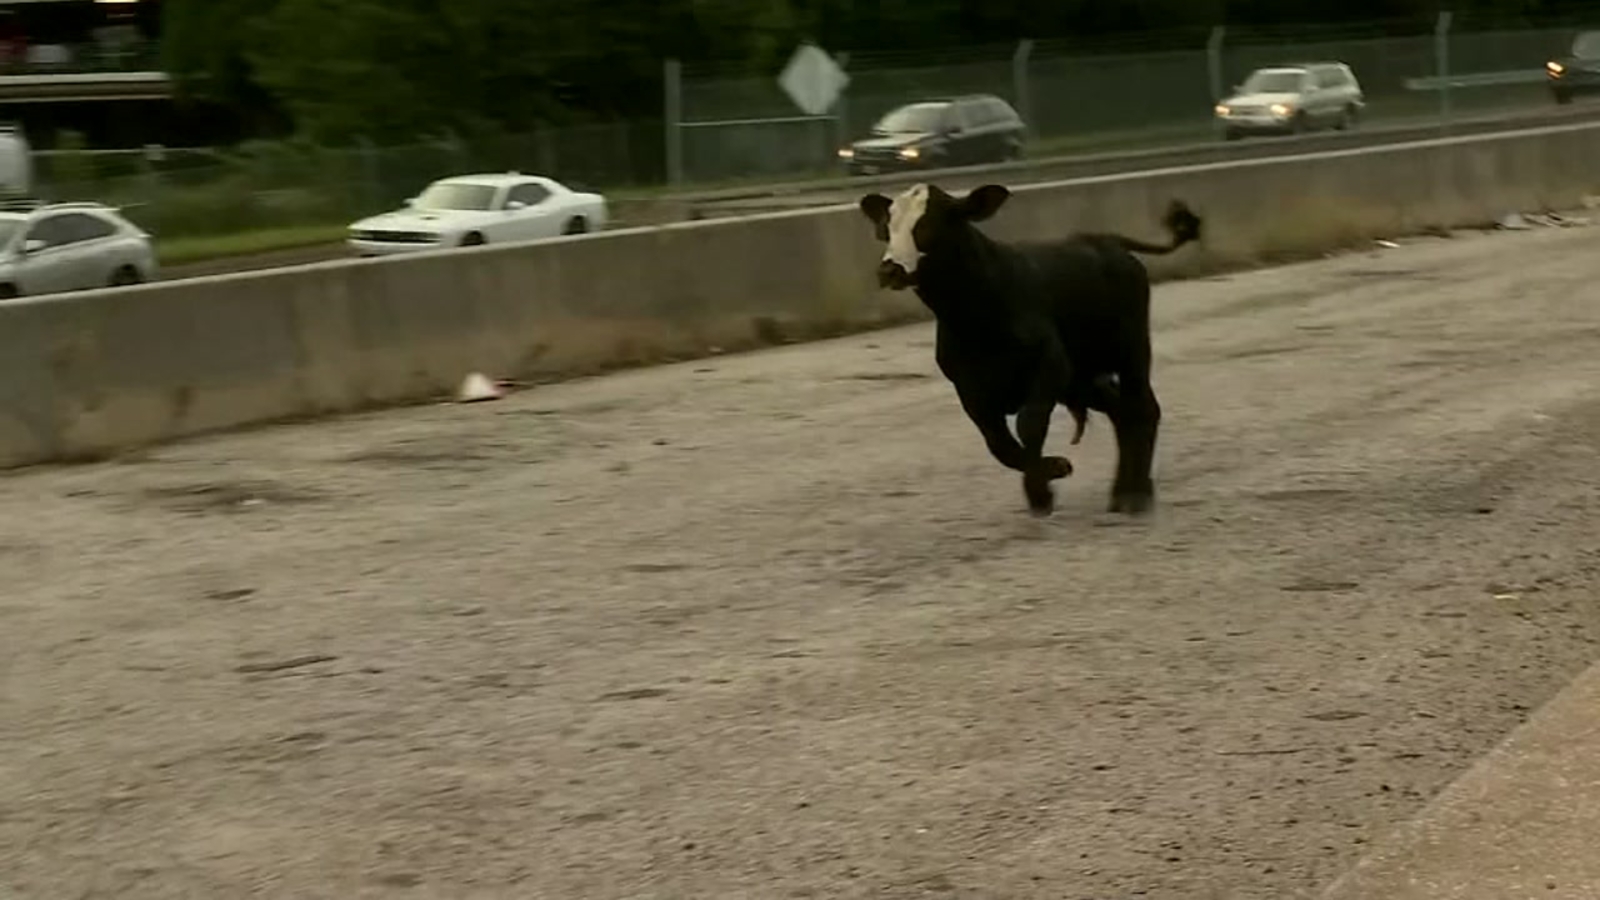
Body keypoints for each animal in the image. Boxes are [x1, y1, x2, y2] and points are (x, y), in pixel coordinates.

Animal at [857, 182, 1201, 517]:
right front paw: (1053, 470)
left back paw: (1136, 495)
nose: (889, 270)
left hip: (1131, 350)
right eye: (885, 230)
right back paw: (1121, 491)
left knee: (1142, 407)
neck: (978, 315)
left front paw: (1041, 490)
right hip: (1081, 379)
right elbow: (999, 444)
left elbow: (1029, 425)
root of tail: (1104, 240)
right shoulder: (970, 389)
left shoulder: (1049, 364)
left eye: (927, 225)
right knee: (1121, 411)